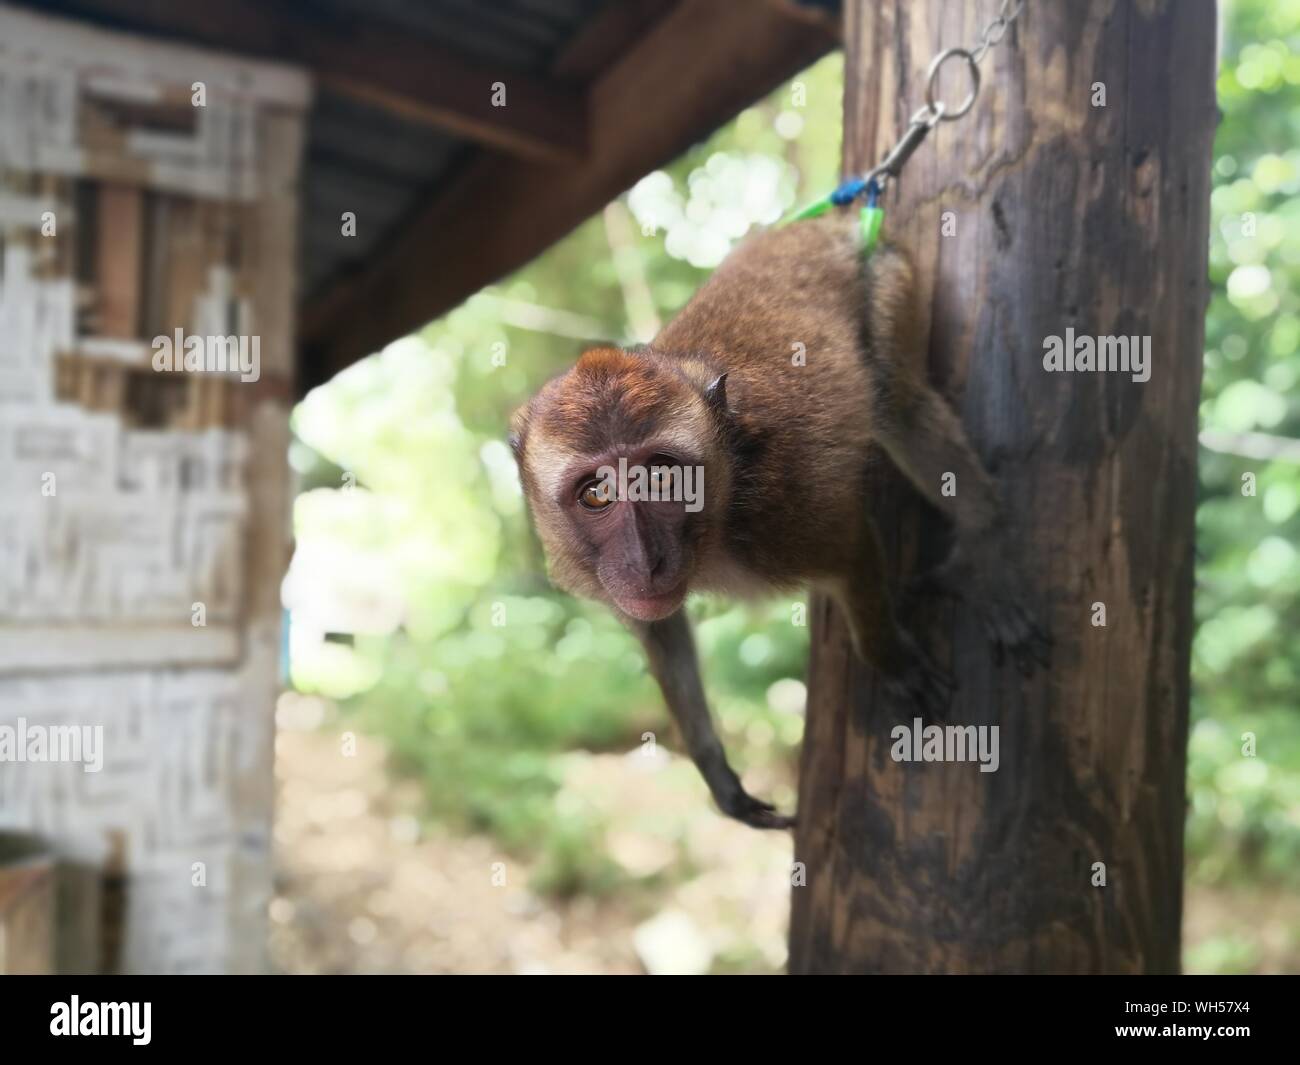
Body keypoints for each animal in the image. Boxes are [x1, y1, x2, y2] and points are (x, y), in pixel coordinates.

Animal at [509, 212, 1049, 829]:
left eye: (664, 477)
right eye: (596, 493)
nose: (645, 561)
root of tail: (824, 223)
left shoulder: (787, 514)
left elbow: (852, 549)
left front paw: (887, 657)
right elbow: (659, 630)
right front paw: (716, 770)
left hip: (885, 275)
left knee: (898, 401)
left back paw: (984, 548)